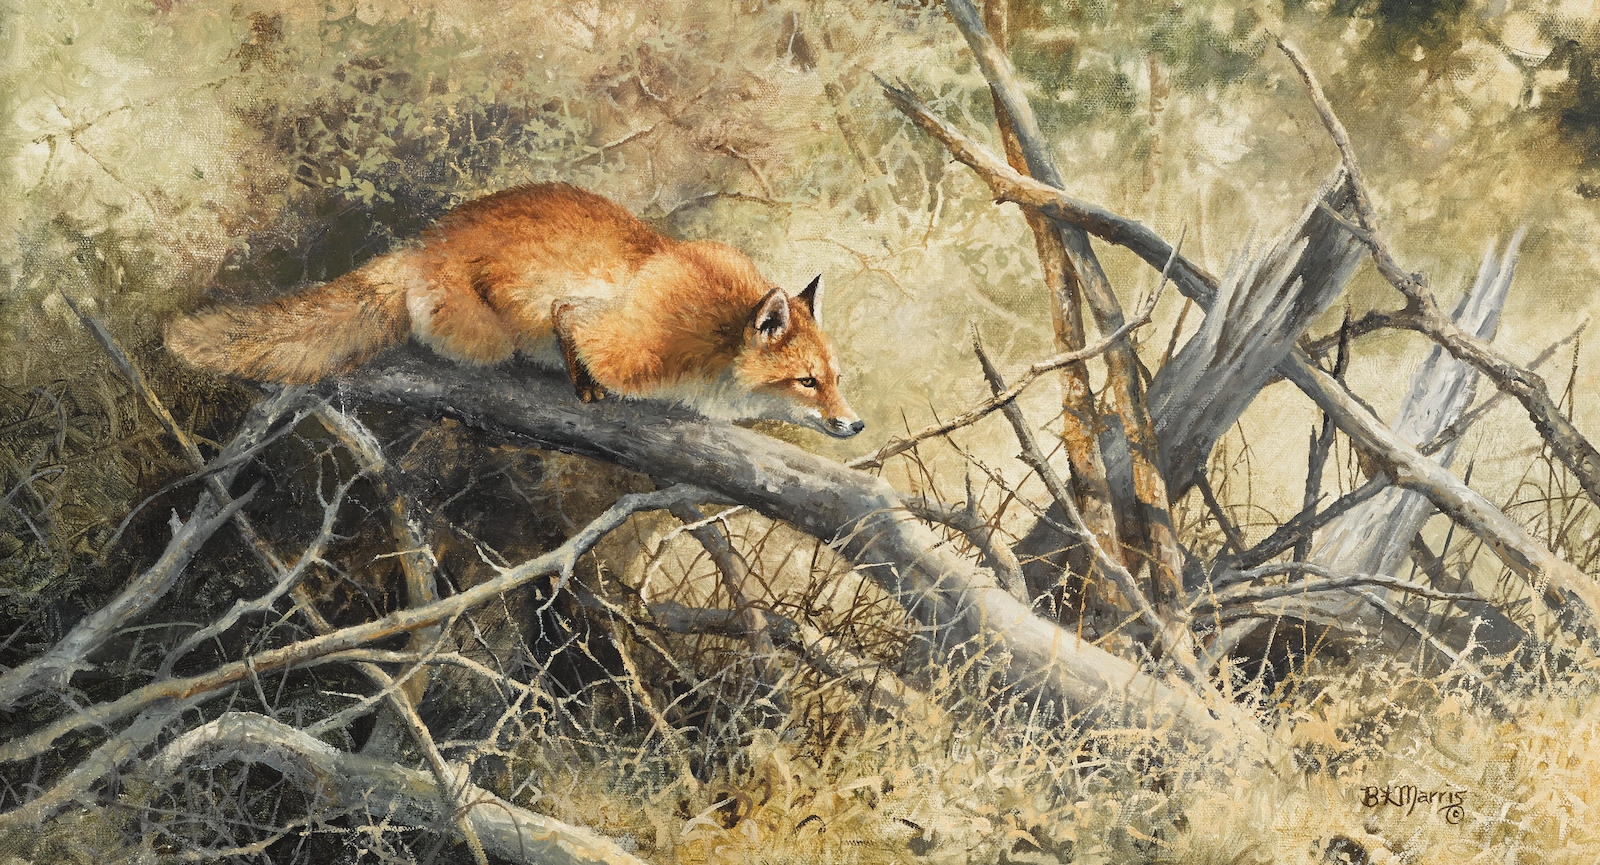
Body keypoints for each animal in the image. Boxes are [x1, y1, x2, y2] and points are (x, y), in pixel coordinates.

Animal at [165, 183, 864, 438]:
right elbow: (567, 319)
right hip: (480, 334)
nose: (856, 425)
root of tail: (422, 245)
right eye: (806, 382)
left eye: (836, 379)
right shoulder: (629, 342)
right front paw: (582, 386)